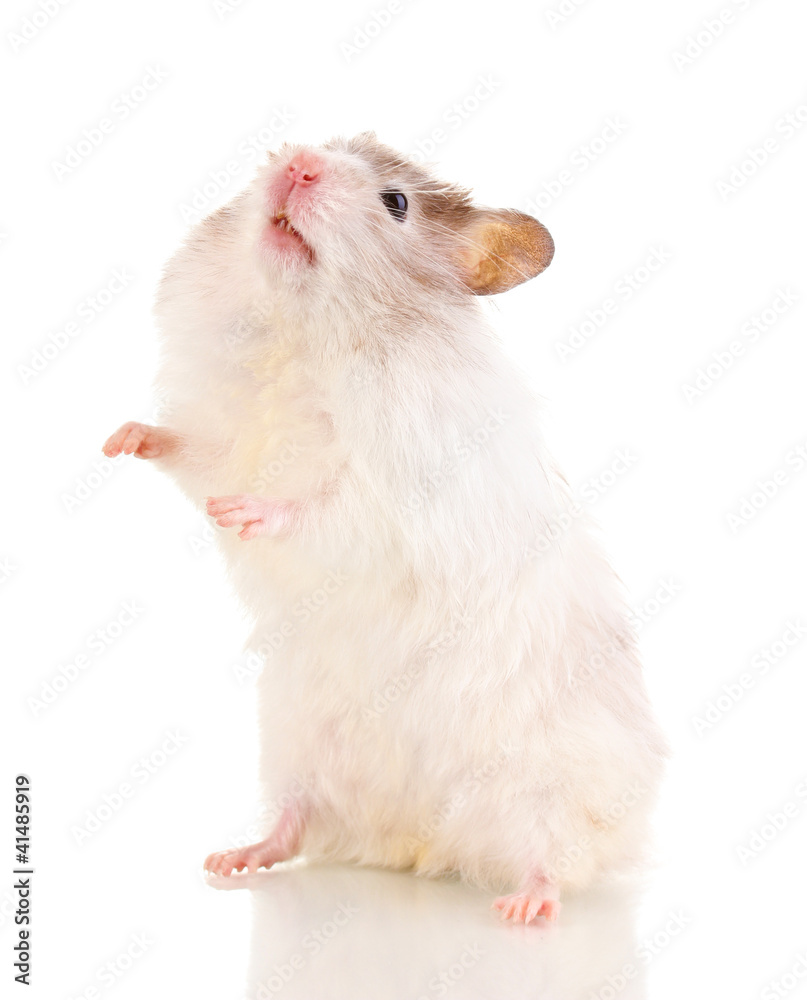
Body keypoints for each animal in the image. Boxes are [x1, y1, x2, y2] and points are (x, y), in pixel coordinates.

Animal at [102, 131, 667, 924]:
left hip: (549, 783)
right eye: (316, 146)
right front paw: (122, 439)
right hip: (296, 745)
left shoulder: (399, 493)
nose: (298, 161)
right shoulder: (222, 439)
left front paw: (245, 513)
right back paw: (233, 859)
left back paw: (524, 908)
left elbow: (330, 509)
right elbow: (189, 455)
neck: (303, 329)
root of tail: (419, 842)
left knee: (555, 855)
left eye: (394, 202)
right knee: (298, 821)